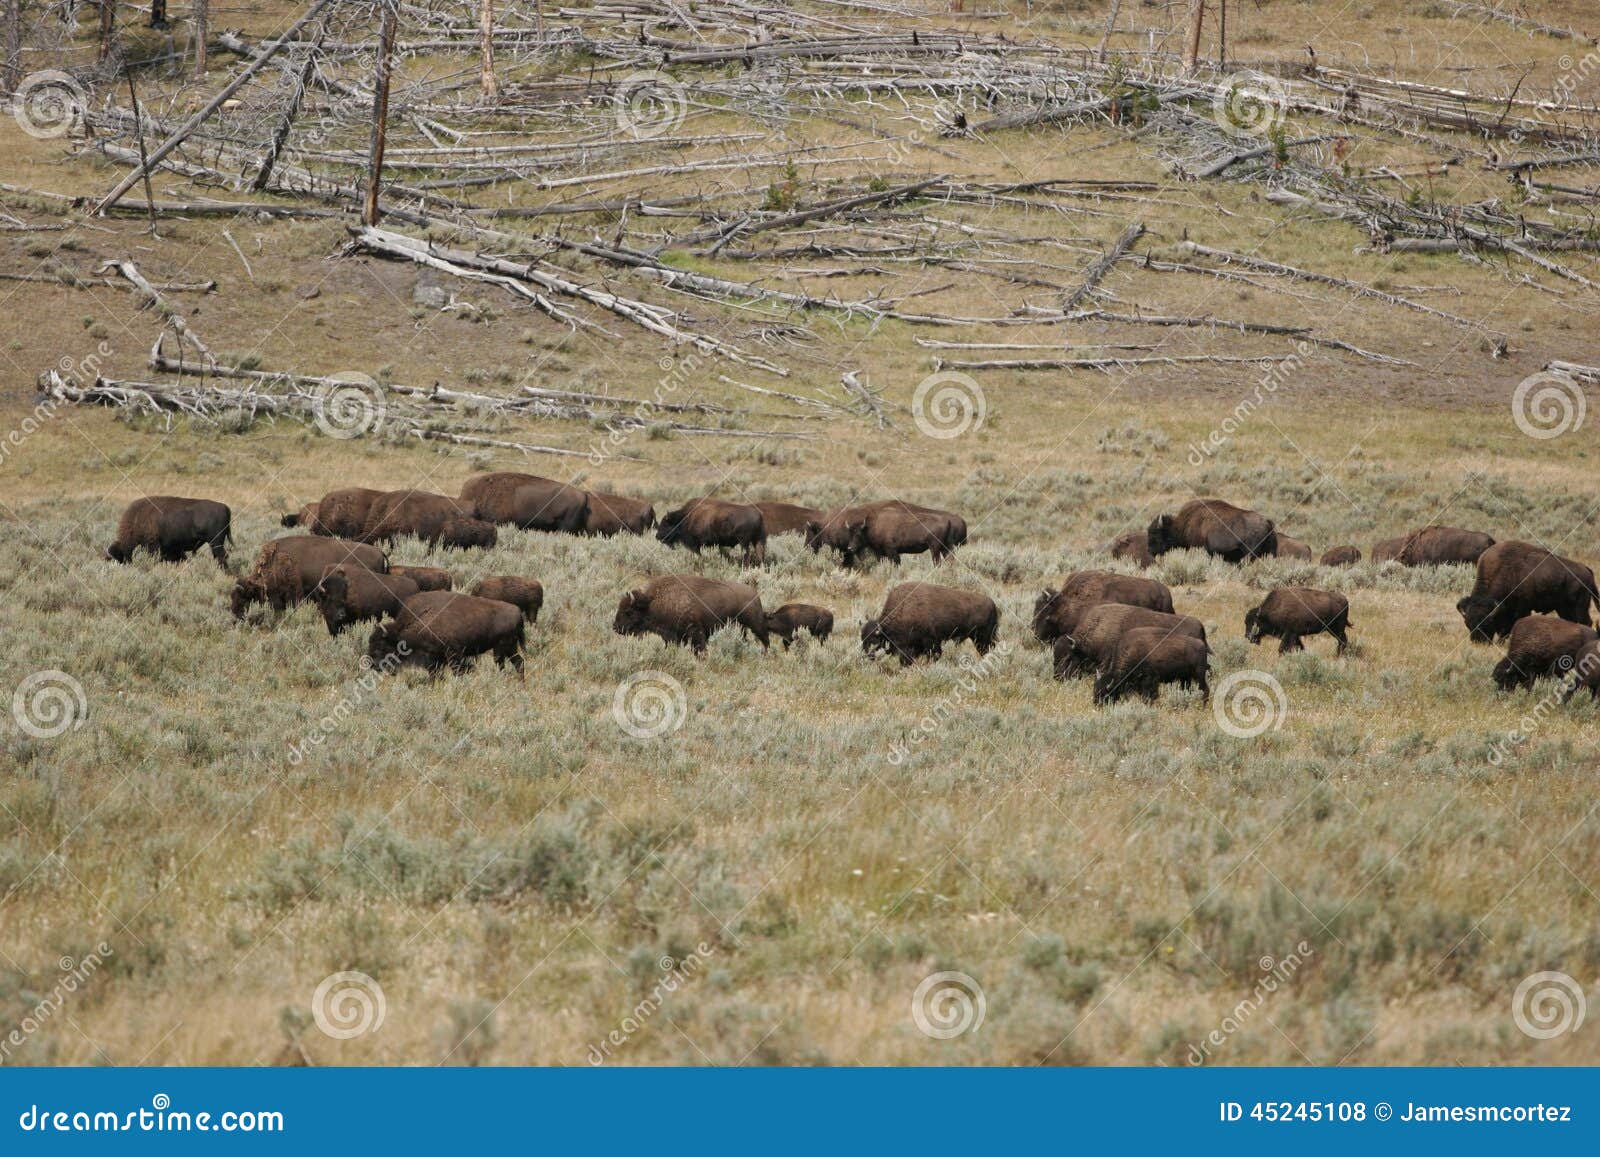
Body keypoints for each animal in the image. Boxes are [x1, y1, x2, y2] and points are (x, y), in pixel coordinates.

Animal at [613, 575, 768, 654]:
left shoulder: (695, 631)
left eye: (628, 612)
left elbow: (699, 648)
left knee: (765, 639)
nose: (615, 627)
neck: (653, 601)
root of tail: (755, 594)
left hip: (756, 625)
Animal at [860, 582, 999, 666]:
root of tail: (992, 604)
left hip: (982, 638)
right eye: (863, 639)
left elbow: (933, 654)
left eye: (874, 640)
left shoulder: (929, 641)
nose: (868, 656)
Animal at [1458, 541, 1599, 642]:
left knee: (1586, 622)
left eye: (1487, 623)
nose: (1478, 642)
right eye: (1467, 623)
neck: (1505, 570)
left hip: (1579, 606)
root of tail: (1587, 570)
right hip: (1563, 608)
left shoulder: (1522, 609)